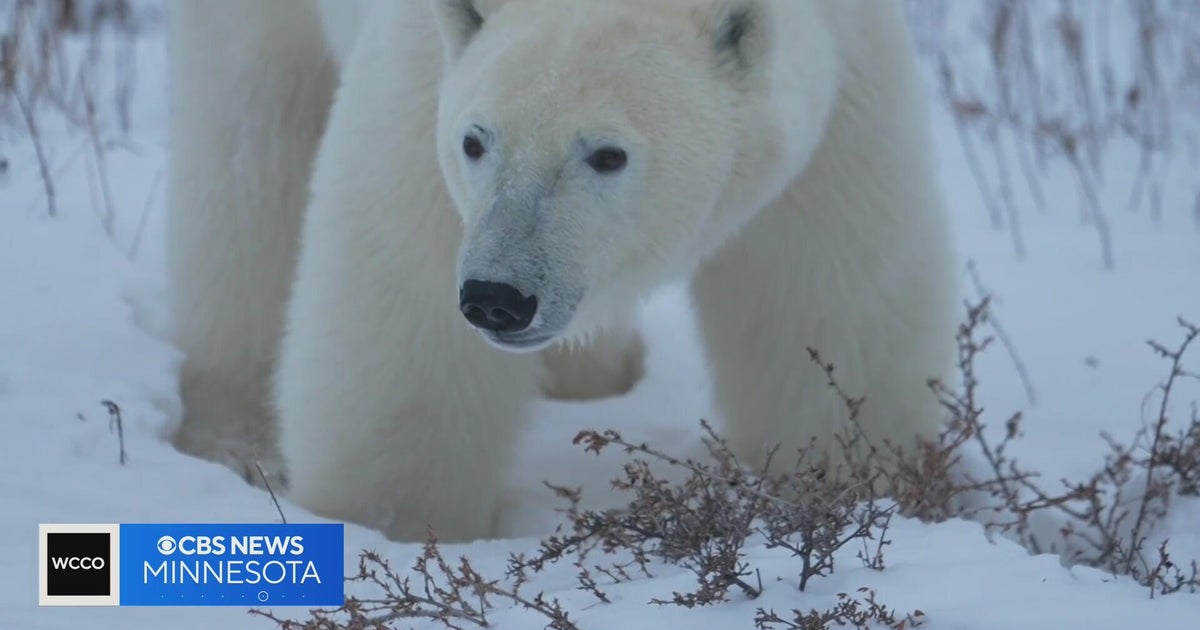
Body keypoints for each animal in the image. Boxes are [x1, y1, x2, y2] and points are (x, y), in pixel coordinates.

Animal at [166, 0, 958, 542]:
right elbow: (403, 315)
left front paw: (853, 492)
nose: (496, 298)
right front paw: (394, 528)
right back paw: (230, 438)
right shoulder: (423, 91)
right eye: (476, 140)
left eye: (607, 153)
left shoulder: (843, 94)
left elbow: (829, 305)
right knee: (251, 151)